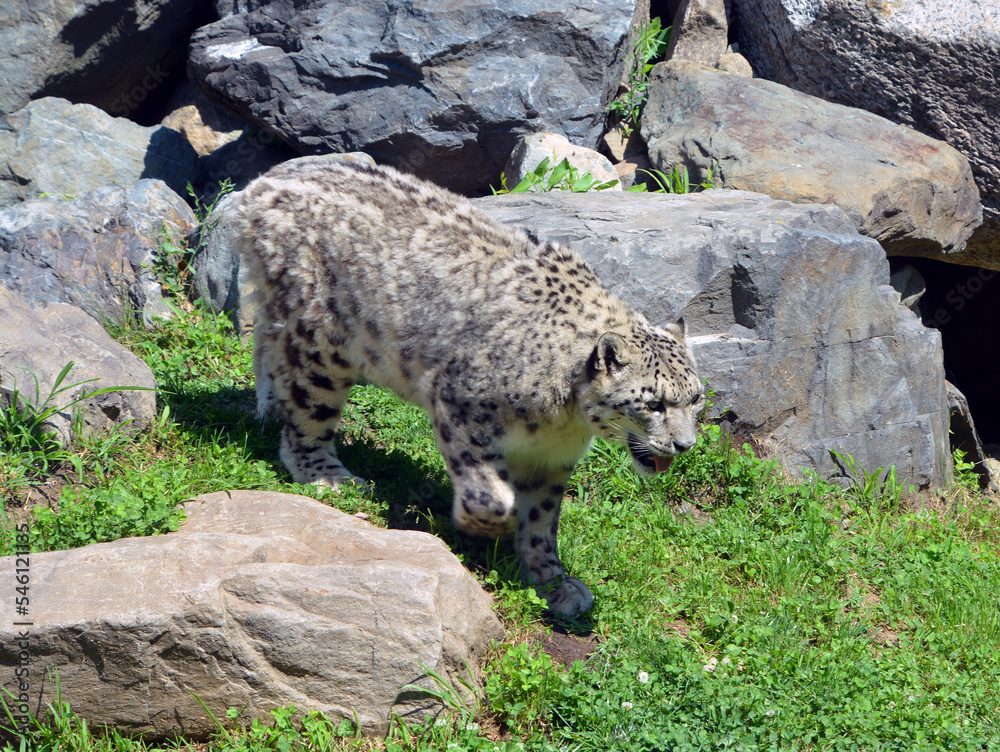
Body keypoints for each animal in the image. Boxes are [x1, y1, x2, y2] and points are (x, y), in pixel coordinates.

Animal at [231, 159, 704, 618]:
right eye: (654, 403)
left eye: (696, 398)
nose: (685, 445)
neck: (564, 420)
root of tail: (260, 185)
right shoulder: (461, 405)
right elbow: (493, 494)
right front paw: (481, 526)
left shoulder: (552, 457)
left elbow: (542, 519)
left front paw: (553, 583)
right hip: (321, 339)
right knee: (307, 408)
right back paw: (329, 475)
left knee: (267, 343)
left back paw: (270, 409)